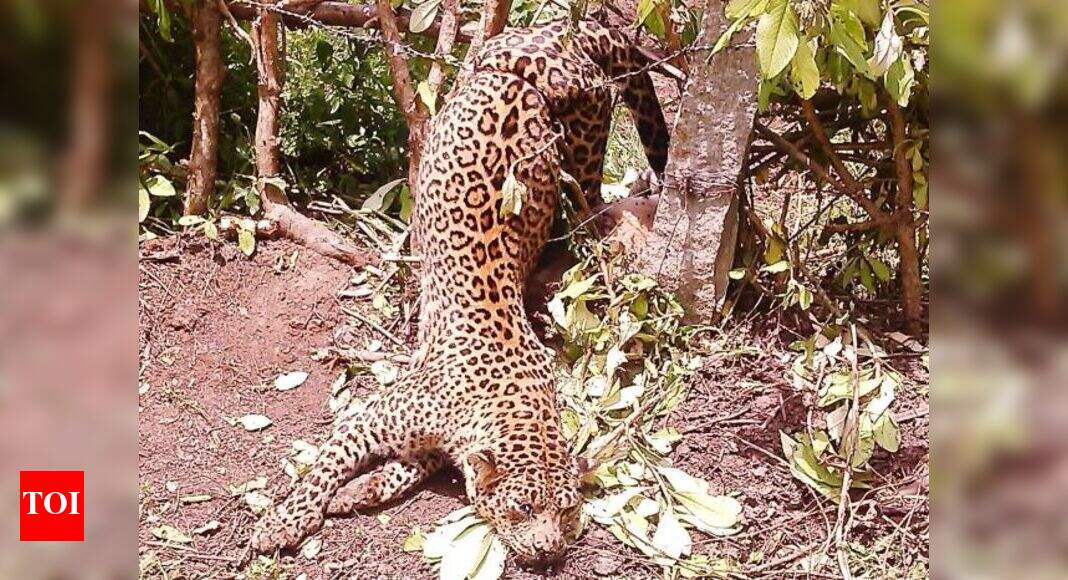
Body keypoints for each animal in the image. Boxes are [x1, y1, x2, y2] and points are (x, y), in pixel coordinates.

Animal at [250, 19, 668, 568]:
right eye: (522, 510)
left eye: (567, 512)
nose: (549, 550)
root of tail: (562, 28)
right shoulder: (367, 421)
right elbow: (320, 469)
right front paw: (283, 521)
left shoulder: (435, 447)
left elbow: (408, 469)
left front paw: (360, 491)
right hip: (565, 110)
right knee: (588, 194)